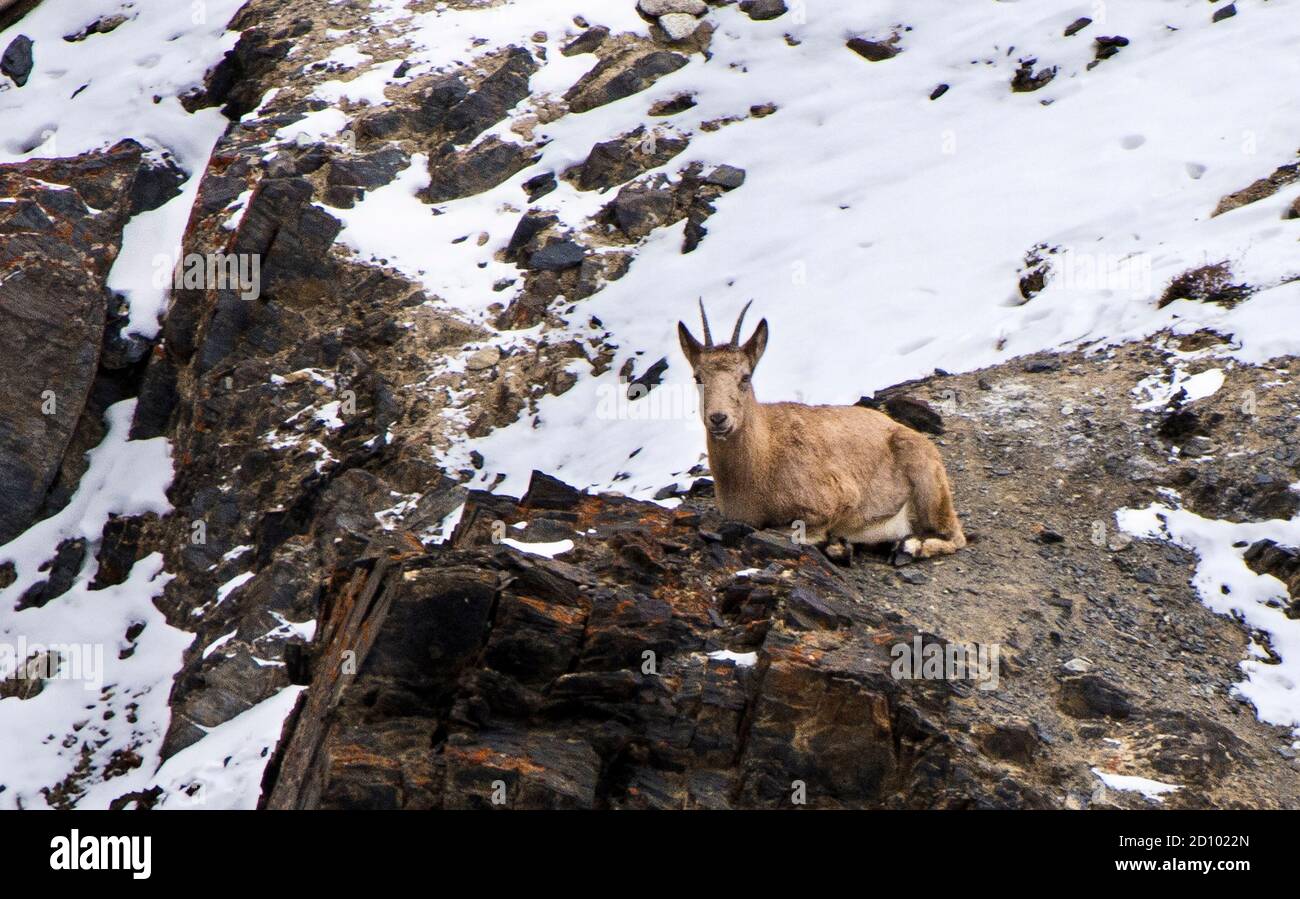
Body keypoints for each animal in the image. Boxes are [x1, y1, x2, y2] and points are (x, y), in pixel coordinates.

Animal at [678, 301, 966, 563]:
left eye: (745, 376)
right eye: (698, 377)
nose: (718, 418)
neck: (762, 459)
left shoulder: (837, 499)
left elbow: (799, 530)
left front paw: (835, 543)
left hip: (928, 484)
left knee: (955, 536)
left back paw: (910, 545)